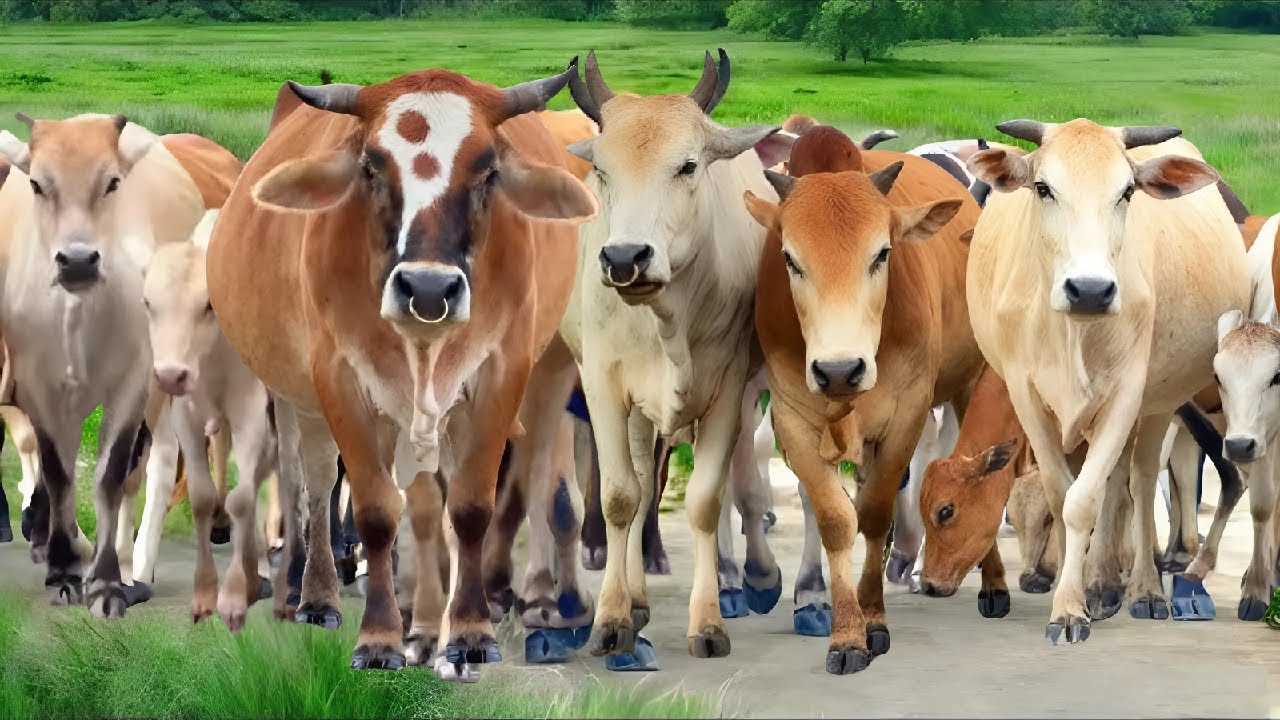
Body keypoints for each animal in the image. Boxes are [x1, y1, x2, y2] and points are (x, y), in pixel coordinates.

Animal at [0, 113, 206, 618]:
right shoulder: (37, 386)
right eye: (38, 183)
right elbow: (57, 474)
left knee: (158, 464)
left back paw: (134, 569)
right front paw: (63, 572)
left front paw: (108, 582)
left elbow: (112, 474)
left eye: (112, 182)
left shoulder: (134, 380)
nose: (77, 261)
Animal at [206, 63, 598, 674]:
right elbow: (374, 510)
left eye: (488, 170)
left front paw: (468, 631)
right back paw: (311, 593)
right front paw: (379, 637)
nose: (429, 289)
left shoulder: (502, 375)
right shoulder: (338, 380)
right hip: (297, 397)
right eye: (371, 165)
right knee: (310, 479)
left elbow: (469, 506)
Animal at [558, 48, 794, 666]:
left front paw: (708, 622)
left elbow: (707, 503)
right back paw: (634, 599)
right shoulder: (603, 386)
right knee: (640, 488)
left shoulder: (728, 392)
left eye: (688, 166)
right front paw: (611, 618)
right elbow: (620, 497)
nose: (624, 258)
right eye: (603, 170)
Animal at [745, 124, 982, 674]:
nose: (838, 370)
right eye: (789, 258)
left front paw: (874, 622)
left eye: (882, 253)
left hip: (967, 385)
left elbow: (874, 513)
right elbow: (837, 519)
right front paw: (847, 634)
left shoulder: (908, 413)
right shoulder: (792, 418)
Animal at [965, 119, 1250, 643]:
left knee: (1138, 480)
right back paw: (1102, 585)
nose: (1091, 289)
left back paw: (1138, 589)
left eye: (1127, 192)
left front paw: (1071, 609)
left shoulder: (1127, 395)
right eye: (1043, 188)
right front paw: (1066, 590)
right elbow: (1060, 493)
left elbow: (1086, 500)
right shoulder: (1026, 396)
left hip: (1160, 403)